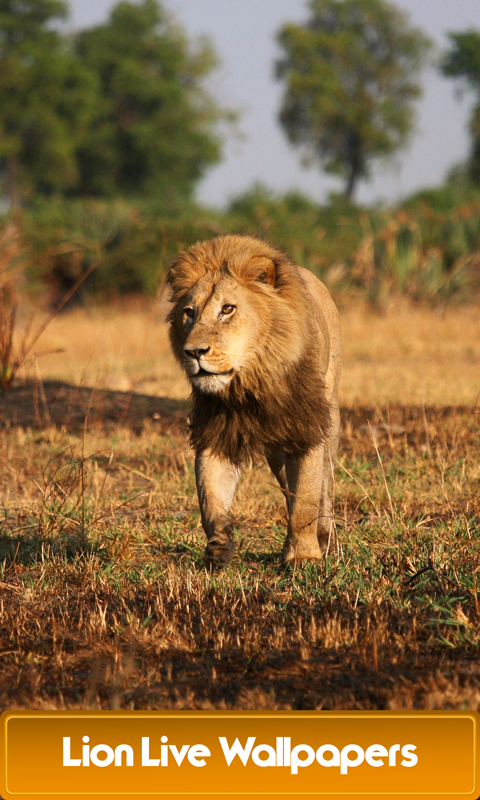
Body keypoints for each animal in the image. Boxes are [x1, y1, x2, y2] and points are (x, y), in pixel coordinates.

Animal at [167, 234, 342, 570]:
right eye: (189, 312)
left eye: (228, 309)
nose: (193, 352)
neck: (250, 382)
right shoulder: (216, 430)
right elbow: (209, 495)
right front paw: (219, 546)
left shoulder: (306, 426)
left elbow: (306, 497)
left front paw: (304, 556)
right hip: (275, 448)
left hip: (330, 412)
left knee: (325, 480)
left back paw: (323, 536)